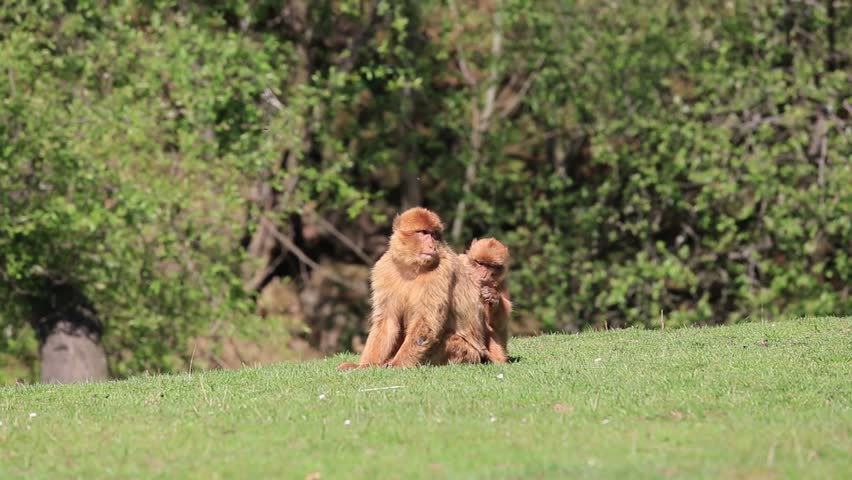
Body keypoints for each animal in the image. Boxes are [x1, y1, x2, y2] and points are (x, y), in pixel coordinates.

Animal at [337, 207, 489, 370]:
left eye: (434, 235)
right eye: (423, 233)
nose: (433, 246)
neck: (412, 267)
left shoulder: (441, 271)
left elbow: (426, 324)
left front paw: (396, 365)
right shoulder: (384, 268)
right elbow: (387, 320)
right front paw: (366, 365)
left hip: (468, 354)